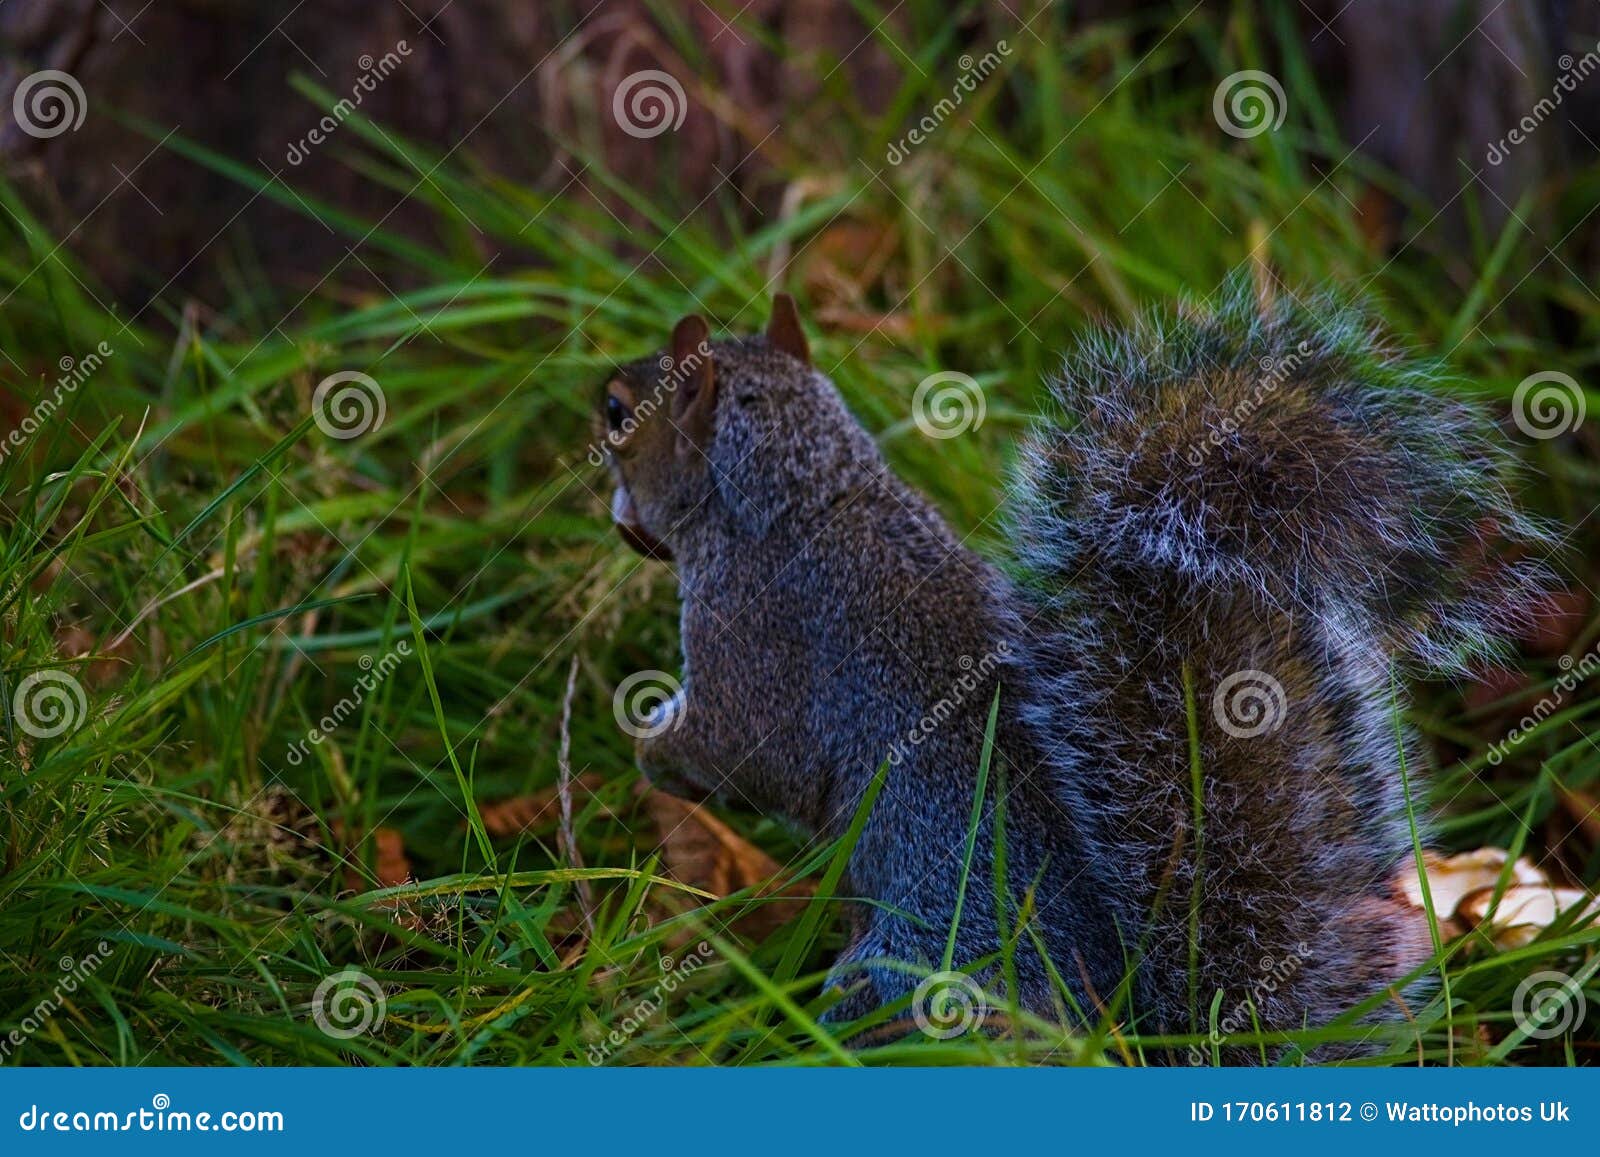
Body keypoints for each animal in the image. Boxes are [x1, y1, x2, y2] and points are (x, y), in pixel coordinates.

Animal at [594, 276, 1550, 1061]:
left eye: (616, 409)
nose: (590, 396)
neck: (810, 489)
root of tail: (1128, 1033)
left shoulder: (752, 627)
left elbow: (746, 750)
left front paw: (650, 749)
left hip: (914, 981)